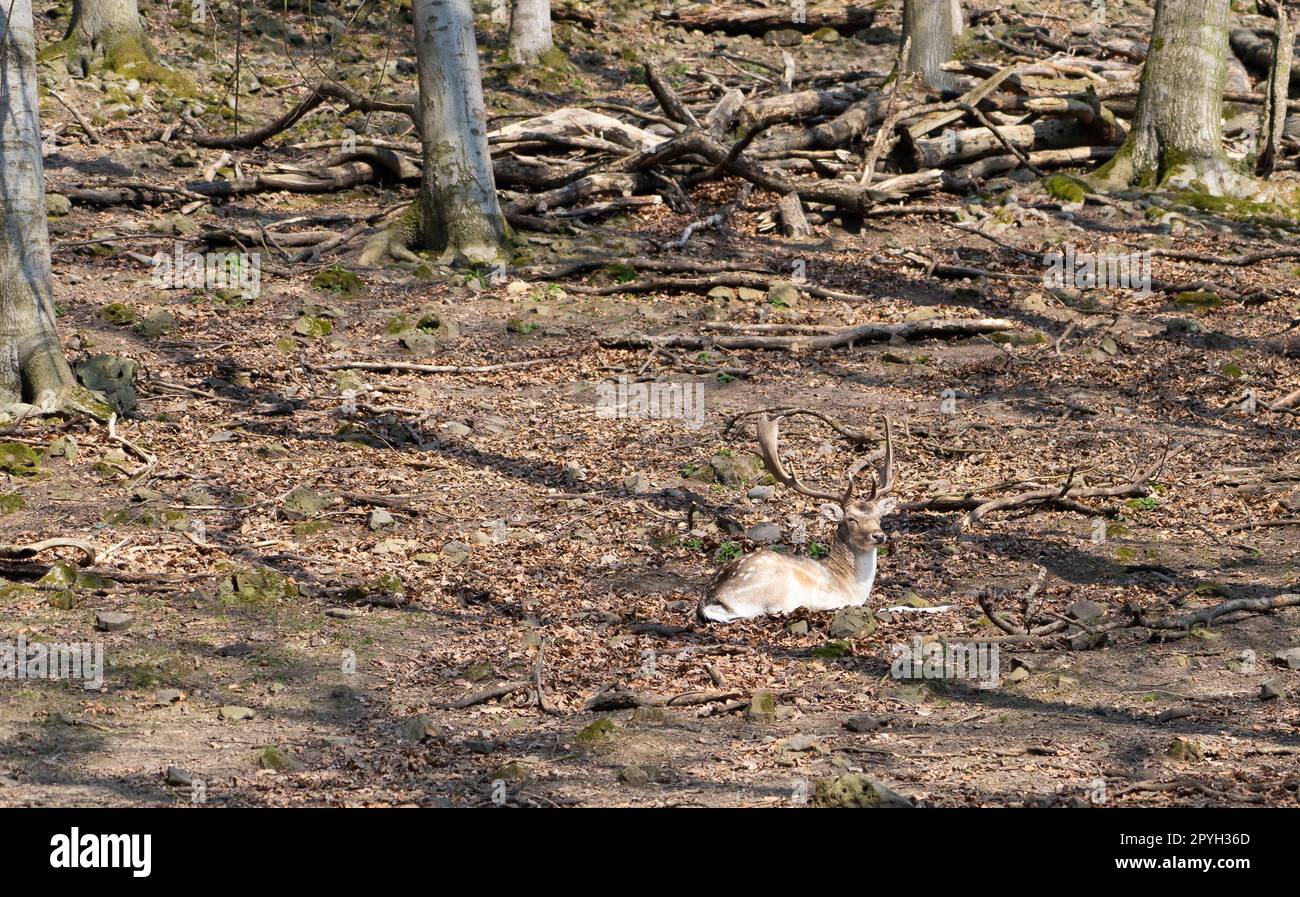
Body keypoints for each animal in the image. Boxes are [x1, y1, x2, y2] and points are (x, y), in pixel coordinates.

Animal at [696, 414, 897, 624]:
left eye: (879, 516)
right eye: (851, 519)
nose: (878, 536)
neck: (850, 586)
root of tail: (713, 599)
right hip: (777, 589)